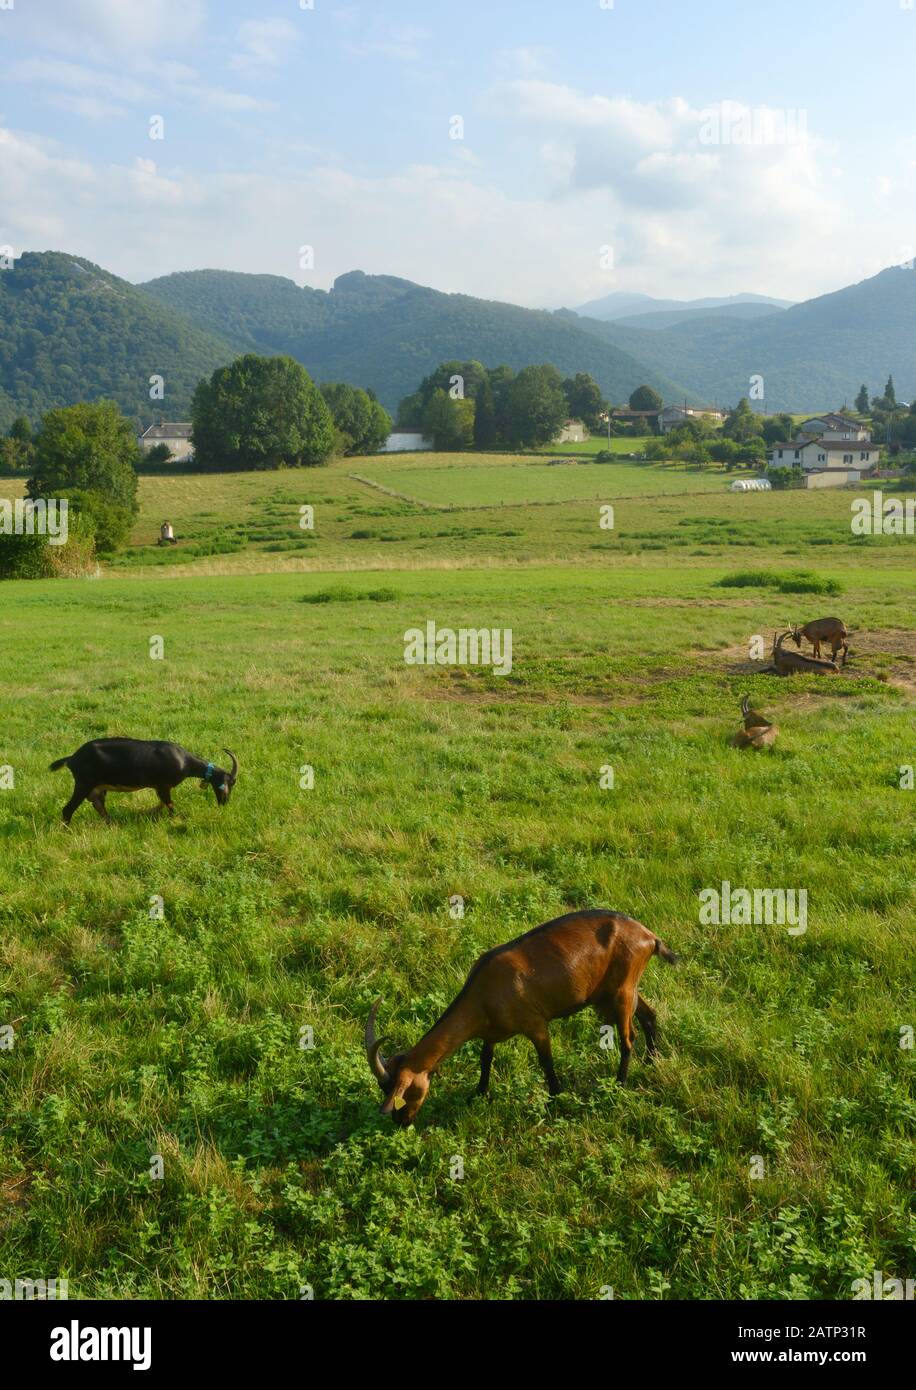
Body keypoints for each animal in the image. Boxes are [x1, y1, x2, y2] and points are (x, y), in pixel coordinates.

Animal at [49, 738, 239, 824]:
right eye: (227, 784)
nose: (224, 803)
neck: (185, 761)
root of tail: (72, 759)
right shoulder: (163, 786)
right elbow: (169, 804)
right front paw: (177, 818)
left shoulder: (159, 787)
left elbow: (162, 803)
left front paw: (149, 813)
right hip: (84, 783)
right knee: (68, 809)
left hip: (97, 787)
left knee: (99, 805)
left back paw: (112, 824)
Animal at [365, 908, 678, 1126]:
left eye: (401, 1094)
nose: (400, 1122)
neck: (484, 992)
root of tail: (649, 937)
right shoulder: (491, 1032)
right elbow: (485, 1059)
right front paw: (479, 1093)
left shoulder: (536, 1024)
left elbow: (546, 1061)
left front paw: (556, 1096)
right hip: (617, 990)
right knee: (649, 1016)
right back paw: (652, 1060)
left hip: (622, 991)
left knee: (628, 1039)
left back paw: (620, 1085)